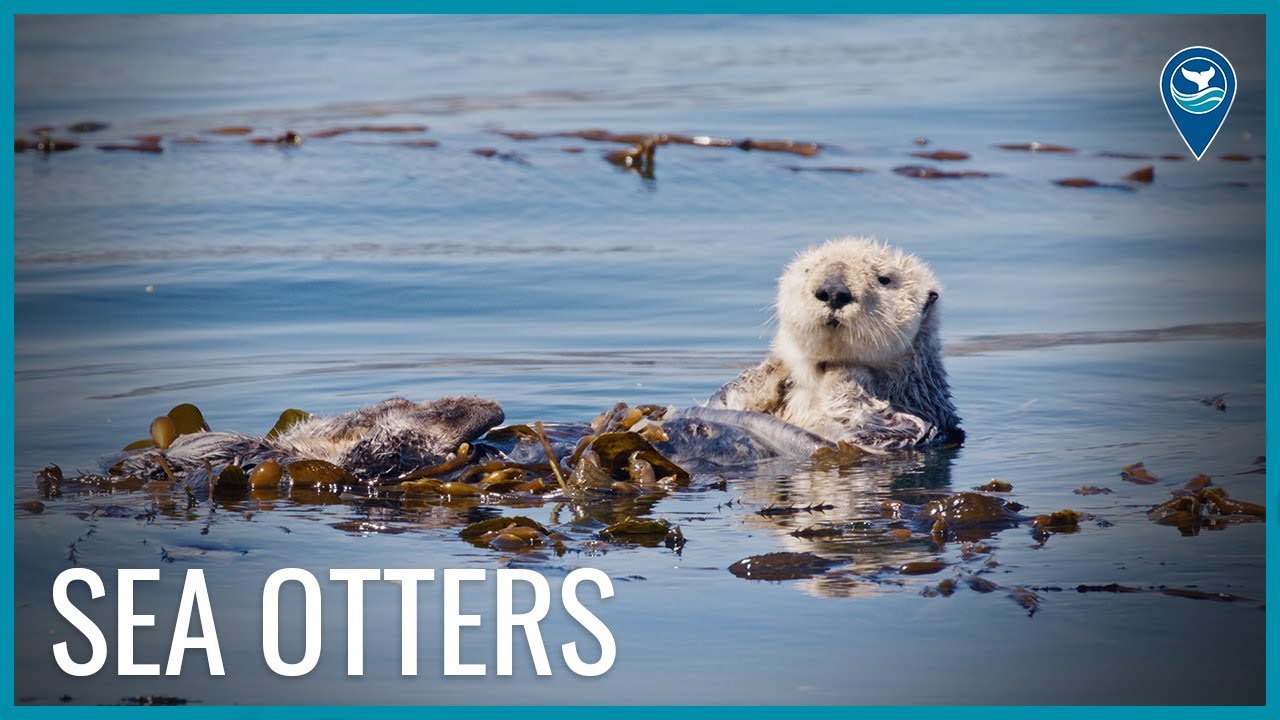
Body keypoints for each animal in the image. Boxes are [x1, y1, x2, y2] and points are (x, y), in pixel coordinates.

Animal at [707, 237, 962, 450]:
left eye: (884, 279)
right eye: (807, 270)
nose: (832, 291)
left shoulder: (914, 418)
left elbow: (871, 425)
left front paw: (846, 370)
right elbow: (723, 398)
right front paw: (773, 368)